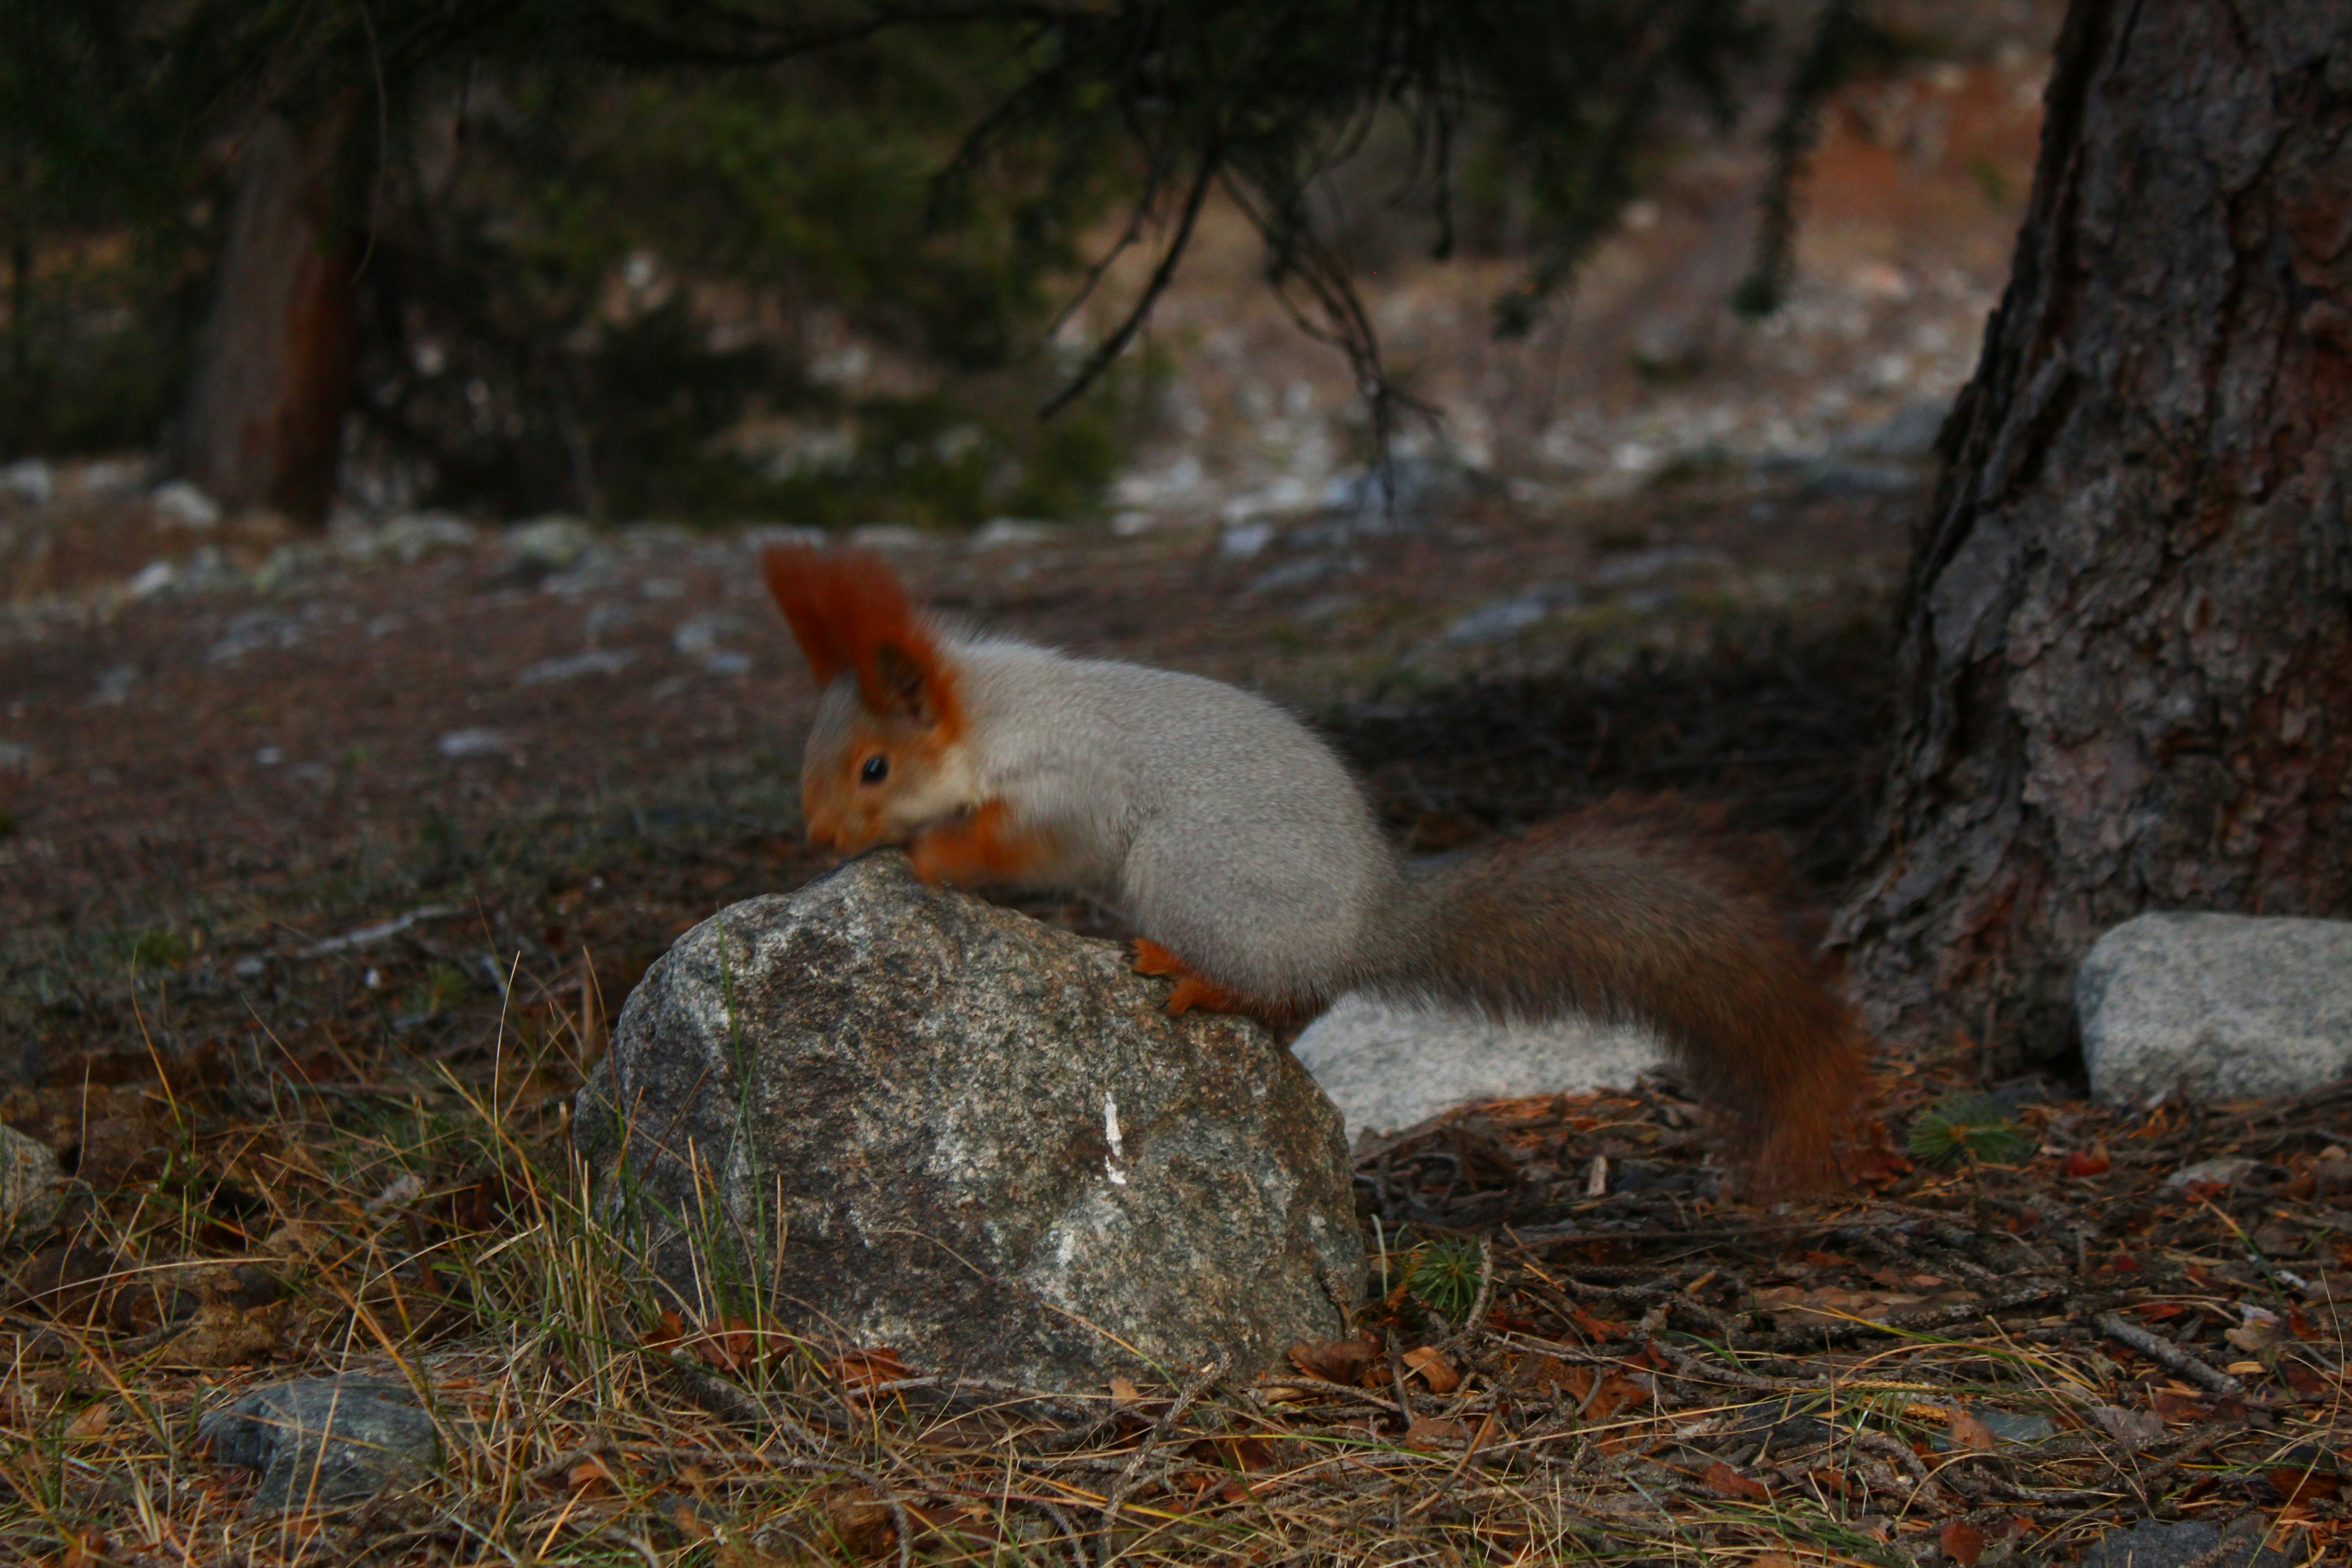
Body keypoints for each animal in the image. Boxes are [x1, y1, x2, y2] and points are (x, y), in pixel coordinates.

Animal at [760, 544, 1862, 1191]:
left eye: (873, 767)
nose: (819, 839)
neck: (995, 716)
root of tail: (1373, 922)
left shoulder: (1065, 786)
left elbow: (1022, 843)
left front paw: (930, 855)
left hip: (1190, 875)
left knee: (1283, 993)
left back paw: (1199, 981)